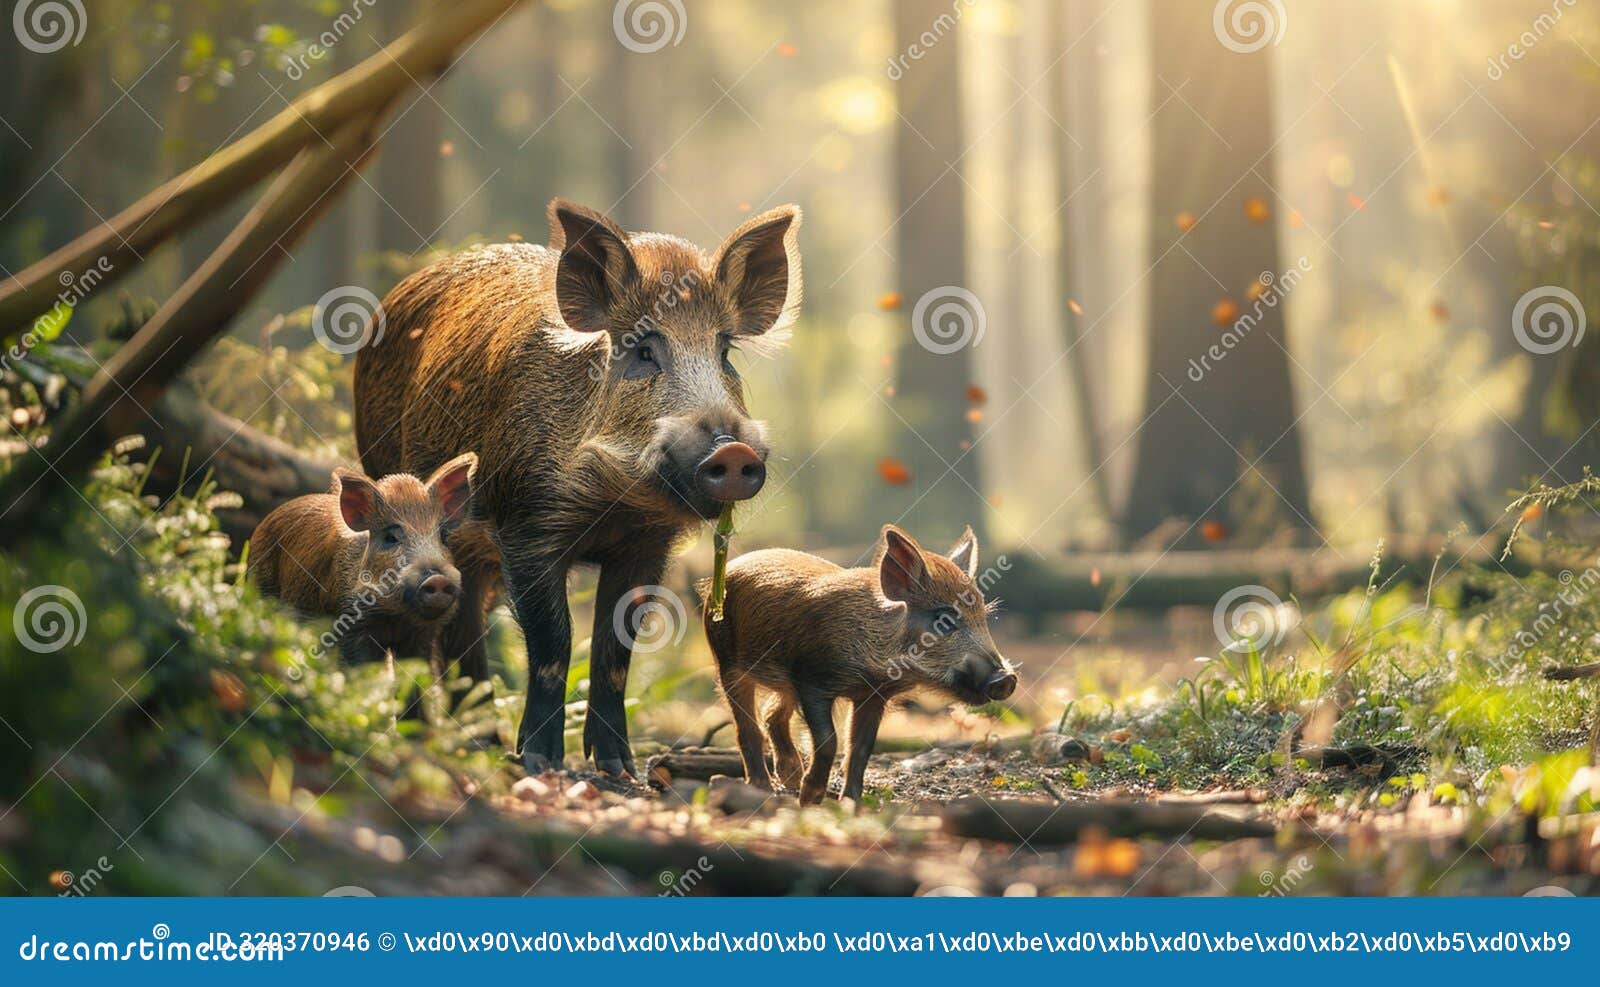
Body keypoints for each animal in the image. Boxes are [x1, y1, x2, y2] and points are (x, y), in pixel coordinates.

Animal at [247, 453, 478, 666]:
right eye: (390, 537)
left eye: (443, 536)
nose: (437, 578)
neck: (394, 617)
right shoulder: (348, 625)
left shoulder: (422, 636)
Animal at [353, 199, 801, 776]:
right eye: (643, 351)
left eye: (724, 351)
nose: (733, 451)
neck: (614, 503)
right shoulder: (526, 528)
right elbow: (554, 644)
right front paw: (540, 763)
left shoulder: (648, 547)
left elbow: (615, 652)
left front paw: (619, 768)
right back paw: (459, 745)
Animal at [703, 524, 1018, 803]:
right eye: (944, 619)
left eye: (984, 617)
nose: (1006, 679)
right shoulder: (811, 680)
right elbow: (829, 740)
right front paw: (809, 799)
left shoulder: (872, 696)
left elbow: (861, 749)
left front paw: (851, 802)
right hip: (726, 660)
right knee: (747, 726)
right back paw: (762, 787)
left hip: (782, 684)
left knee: (772, 714)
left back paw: (790, 779)